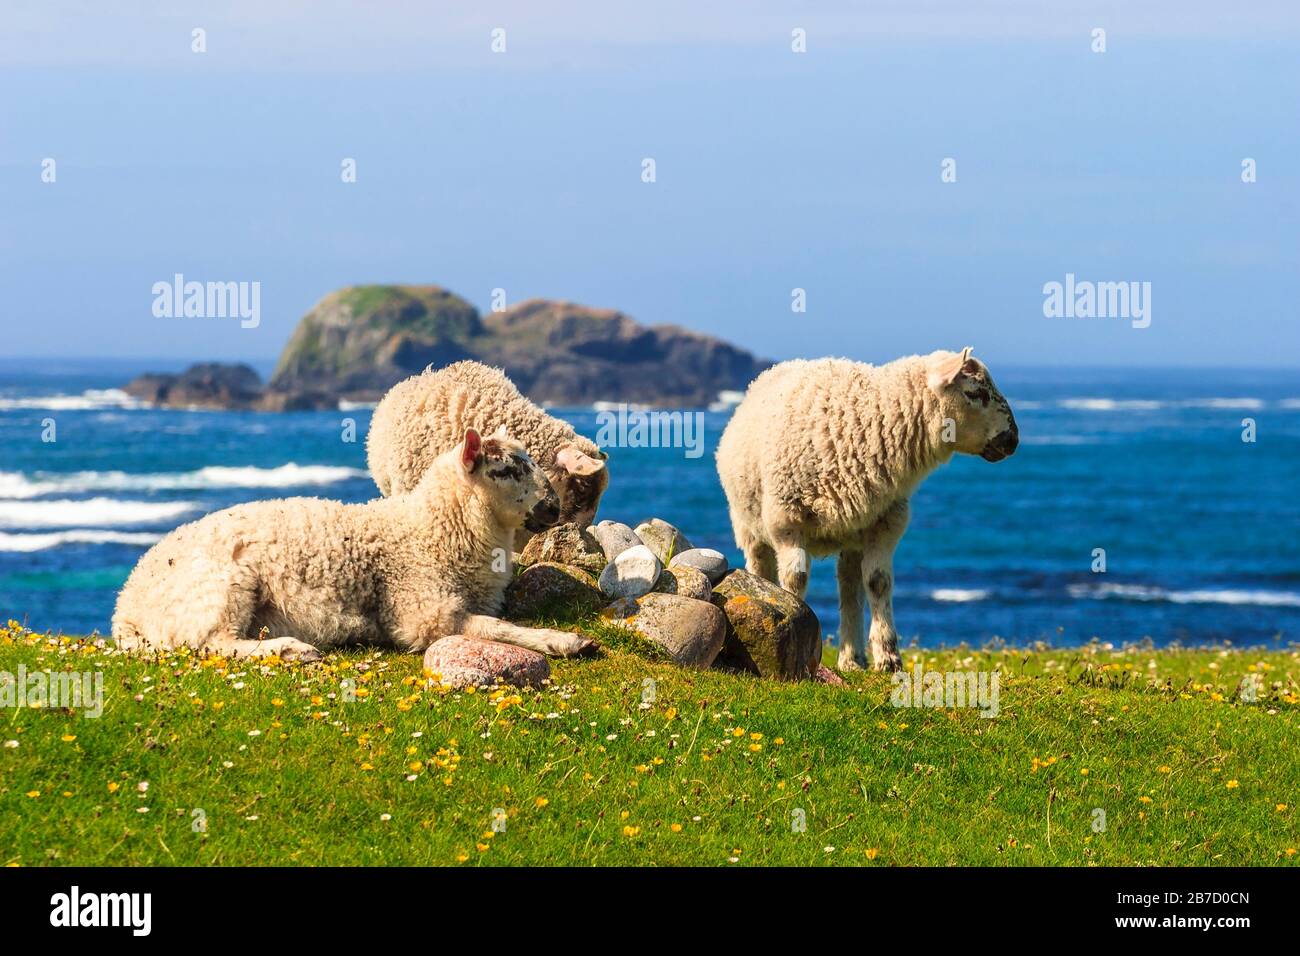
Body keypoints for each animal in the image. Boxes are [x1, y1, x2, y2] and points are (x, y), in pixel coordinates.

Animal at [112, 428, 595, 661]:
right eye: (507, 470)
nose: (553, 507)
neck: (430, 529)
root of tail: (125, 606)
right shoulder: (423, 612)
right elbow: (496, 629)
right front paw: (565, 641)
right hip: (222, 587)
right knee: (214, 643)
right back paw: (291, 650)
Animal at [715, 348, 1019, 672]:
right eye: (976, 393)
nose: (1013, 439)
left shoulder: (886, 522)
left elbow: (878, 582)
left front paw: (889, 658)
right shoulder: (786, 522)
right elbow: (795, 580)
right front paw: (796, 623)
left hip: (852, 531)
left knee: (849, 585)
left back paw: (852, 658)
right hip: (748, 525)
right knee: (761, 568)